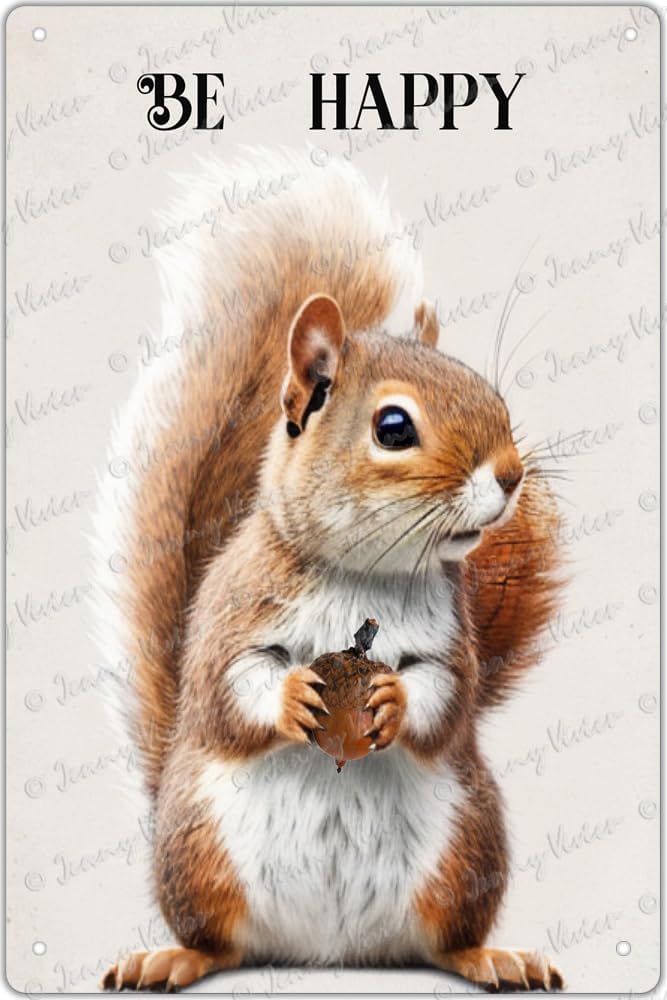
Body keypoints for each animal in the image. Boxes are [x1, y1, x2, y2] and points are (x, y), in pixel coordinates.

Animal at [95, 150, 563, 993]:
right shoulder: (231, 608)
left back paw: (491, 955)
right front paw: (289, 695)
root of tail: (332, 952)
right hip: (201, 852)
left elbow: (447, 693)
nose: (511, 475)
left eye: (489, 392)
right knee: (217, 941)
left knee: (444, 940)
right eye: (393, 426)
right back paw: (172, 956)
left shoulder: (450, 636)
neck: (364, 578)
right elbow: (224, 686)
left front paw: (393, 697)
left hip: (465, 850)